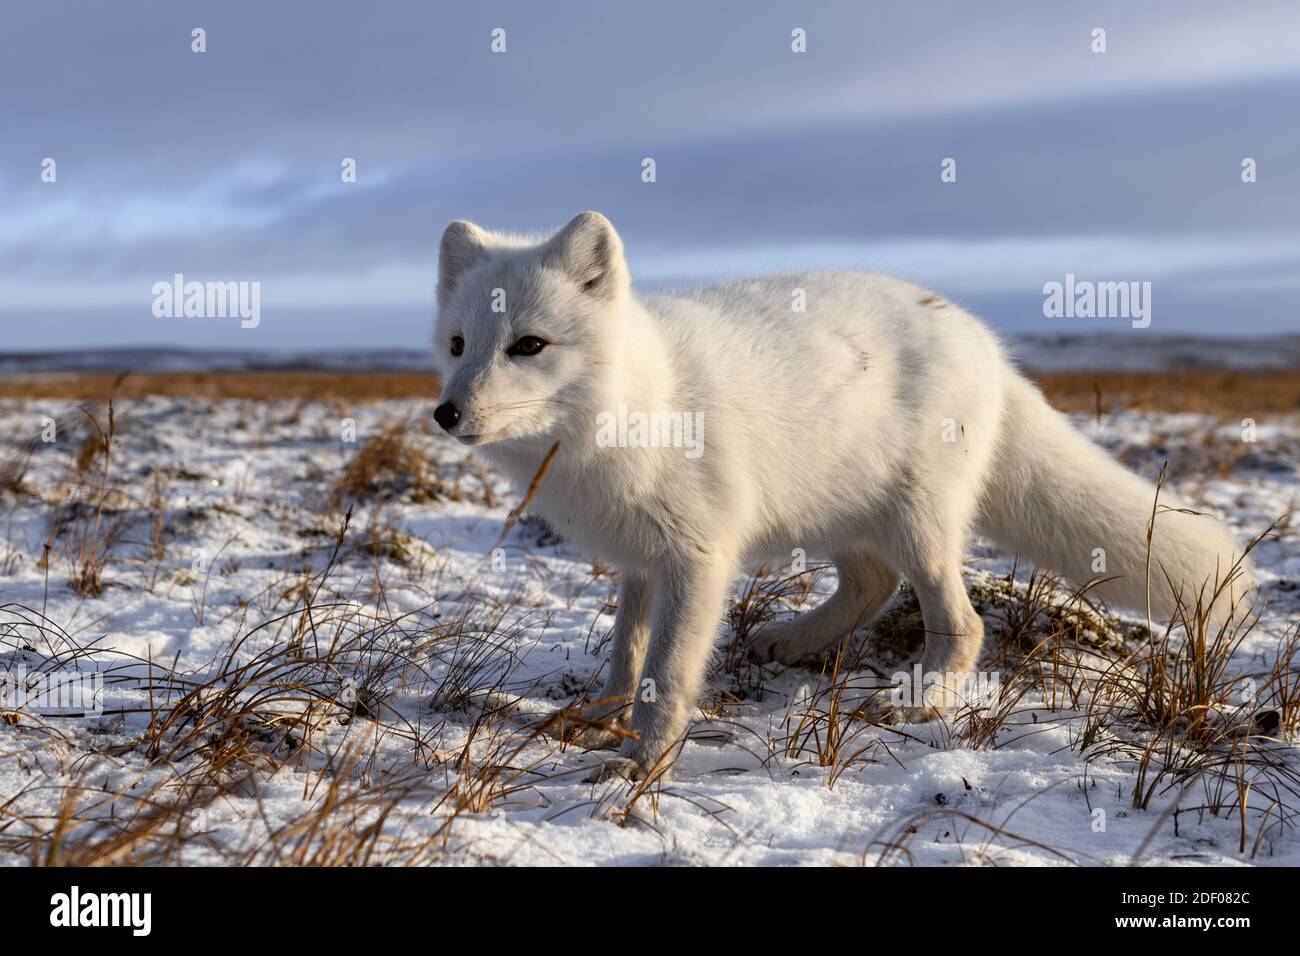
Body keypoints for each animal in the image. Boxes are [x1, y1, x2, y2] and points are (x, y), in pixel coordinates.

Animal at [431, 211, 1253, 782]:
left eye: (529, 346)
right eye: (457, 345)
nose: (445, 413)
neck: (638, 403)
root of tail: (992, 348)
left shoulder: (698, 557)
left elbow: (665, 678)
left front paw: (641, 766)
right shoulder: (640, 560)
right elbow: (626, 658)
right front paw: (601, 721)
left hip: (919, 521)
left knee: (962, 622)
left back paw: (919, 700)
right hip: (842, 514)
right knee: (870, 584)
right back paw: (791, 643)